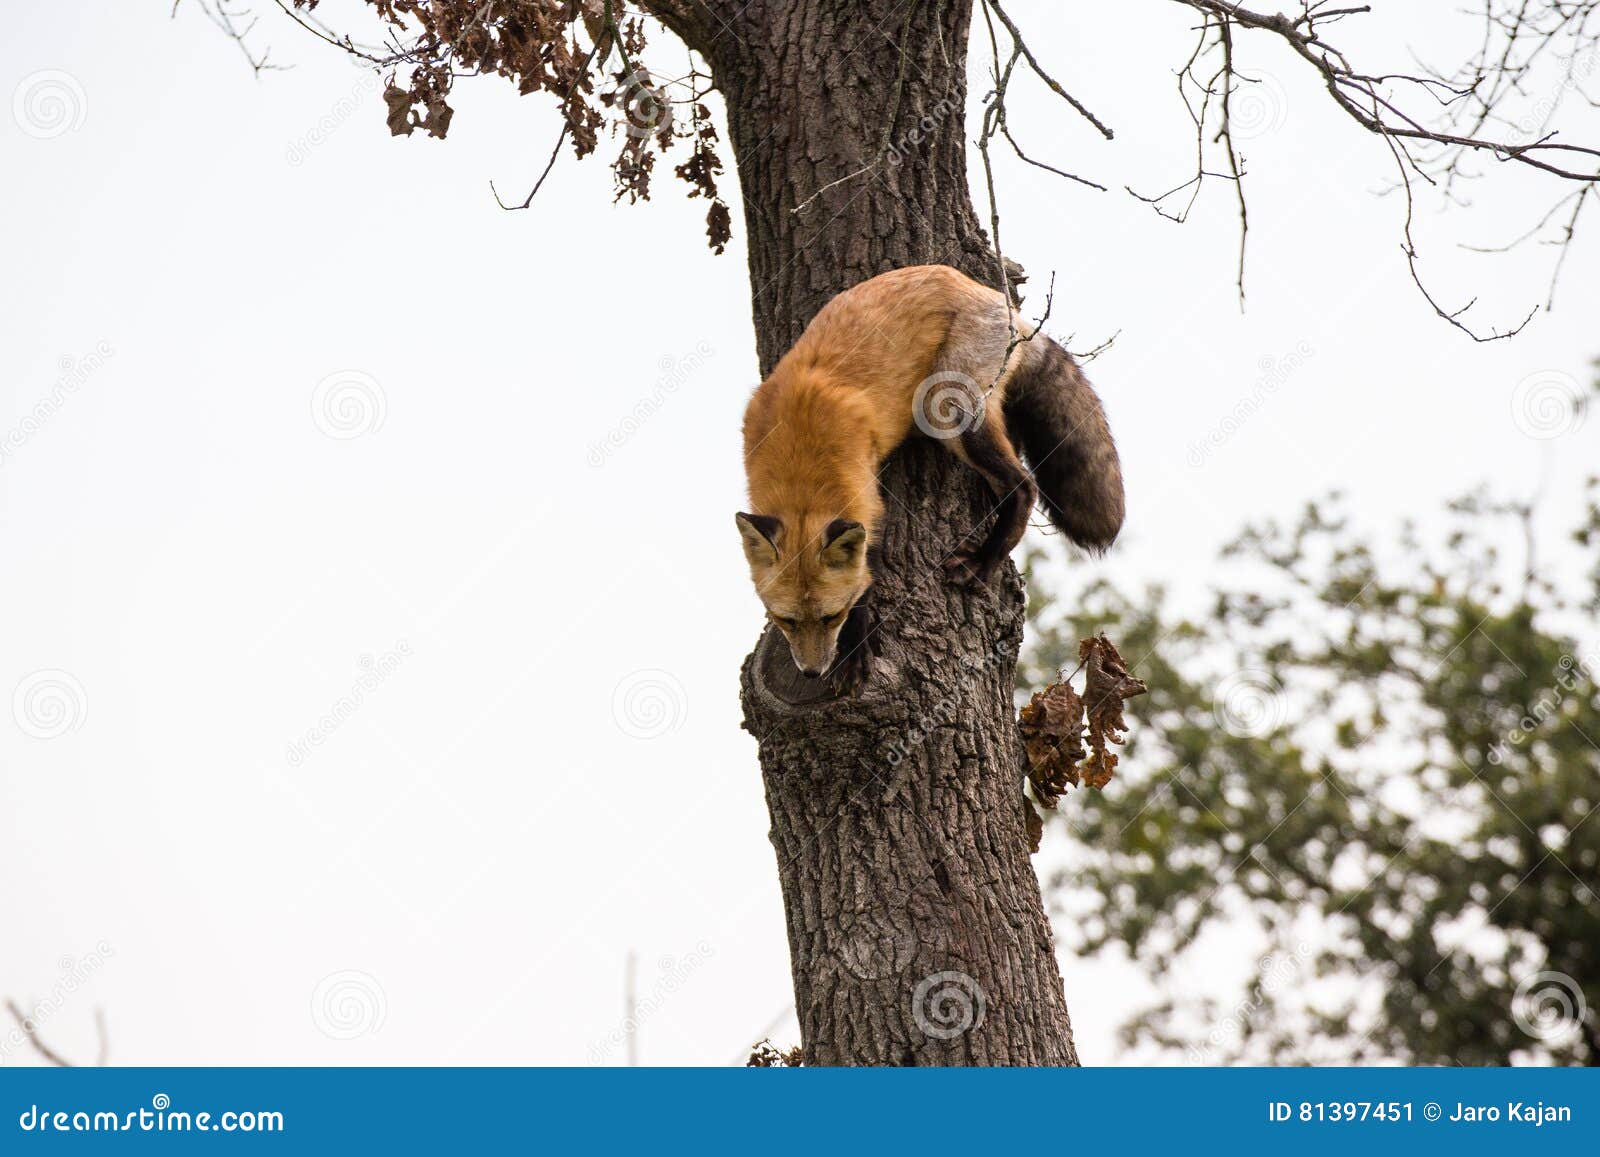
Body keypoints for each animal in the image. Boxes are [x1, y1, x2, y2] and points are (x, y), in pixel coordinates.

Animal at [737, 264, 1124, 681]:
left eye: (832, 616)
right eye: (786, 620)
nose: (812, 673)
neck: (800, 460)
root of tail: (985, 293)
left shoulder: (871, 505)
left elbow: (866, 581)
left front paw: (855, 651)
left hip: (947, 409)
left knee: (1023, 485)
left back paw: (983, 560)